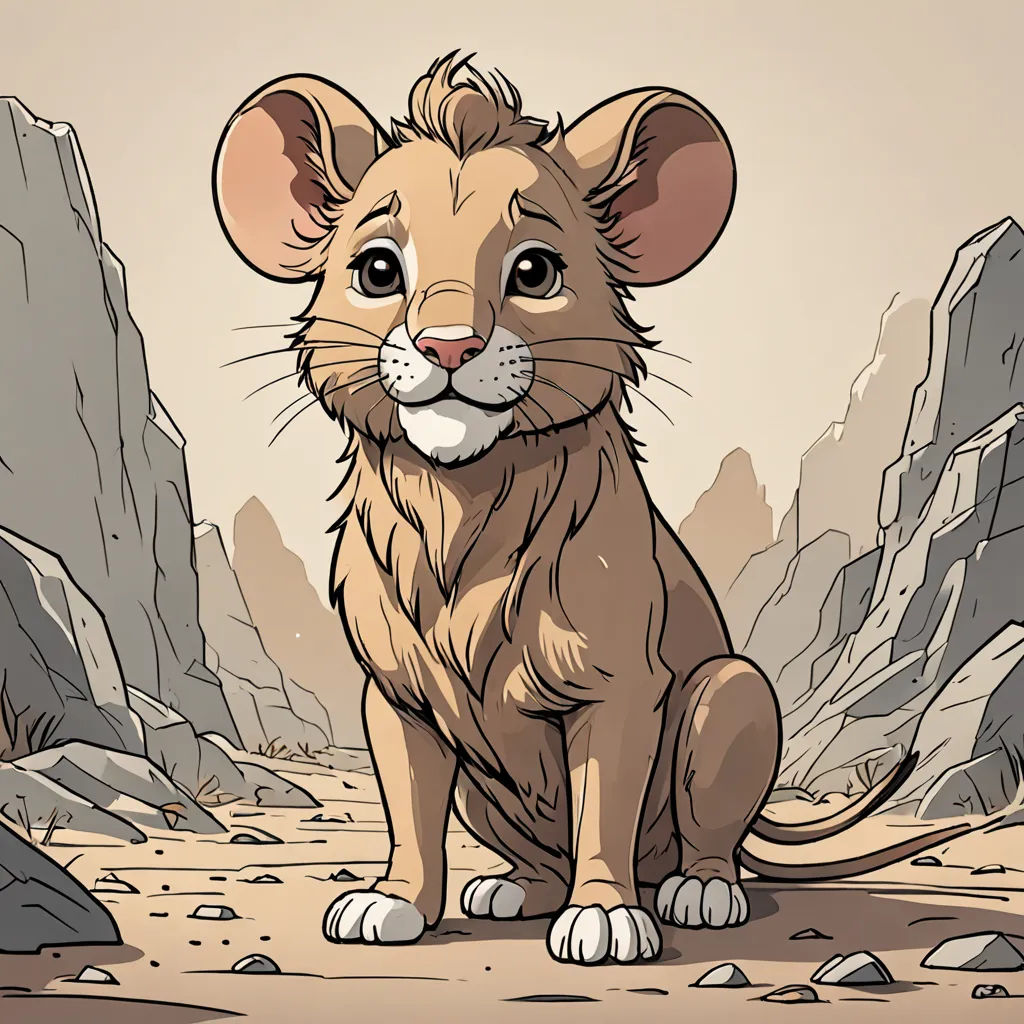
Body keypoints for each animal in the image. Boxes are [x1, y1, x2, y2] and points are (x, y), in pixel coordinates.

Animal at [213, 52, 967, 965]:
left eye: (534, 271)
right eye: (379, 270)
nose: (448, 346)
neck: (462, 502)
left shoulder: (619, 687)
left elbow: (603, 806)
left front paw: (605, 917)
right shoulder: (395, 698)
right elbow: (411, 814)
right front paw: (391, 903)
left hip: (733, 691)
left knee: (708, 838)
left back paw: (698, 893)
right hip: (488, 788)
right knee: (531, 847)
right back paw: (515, 890)